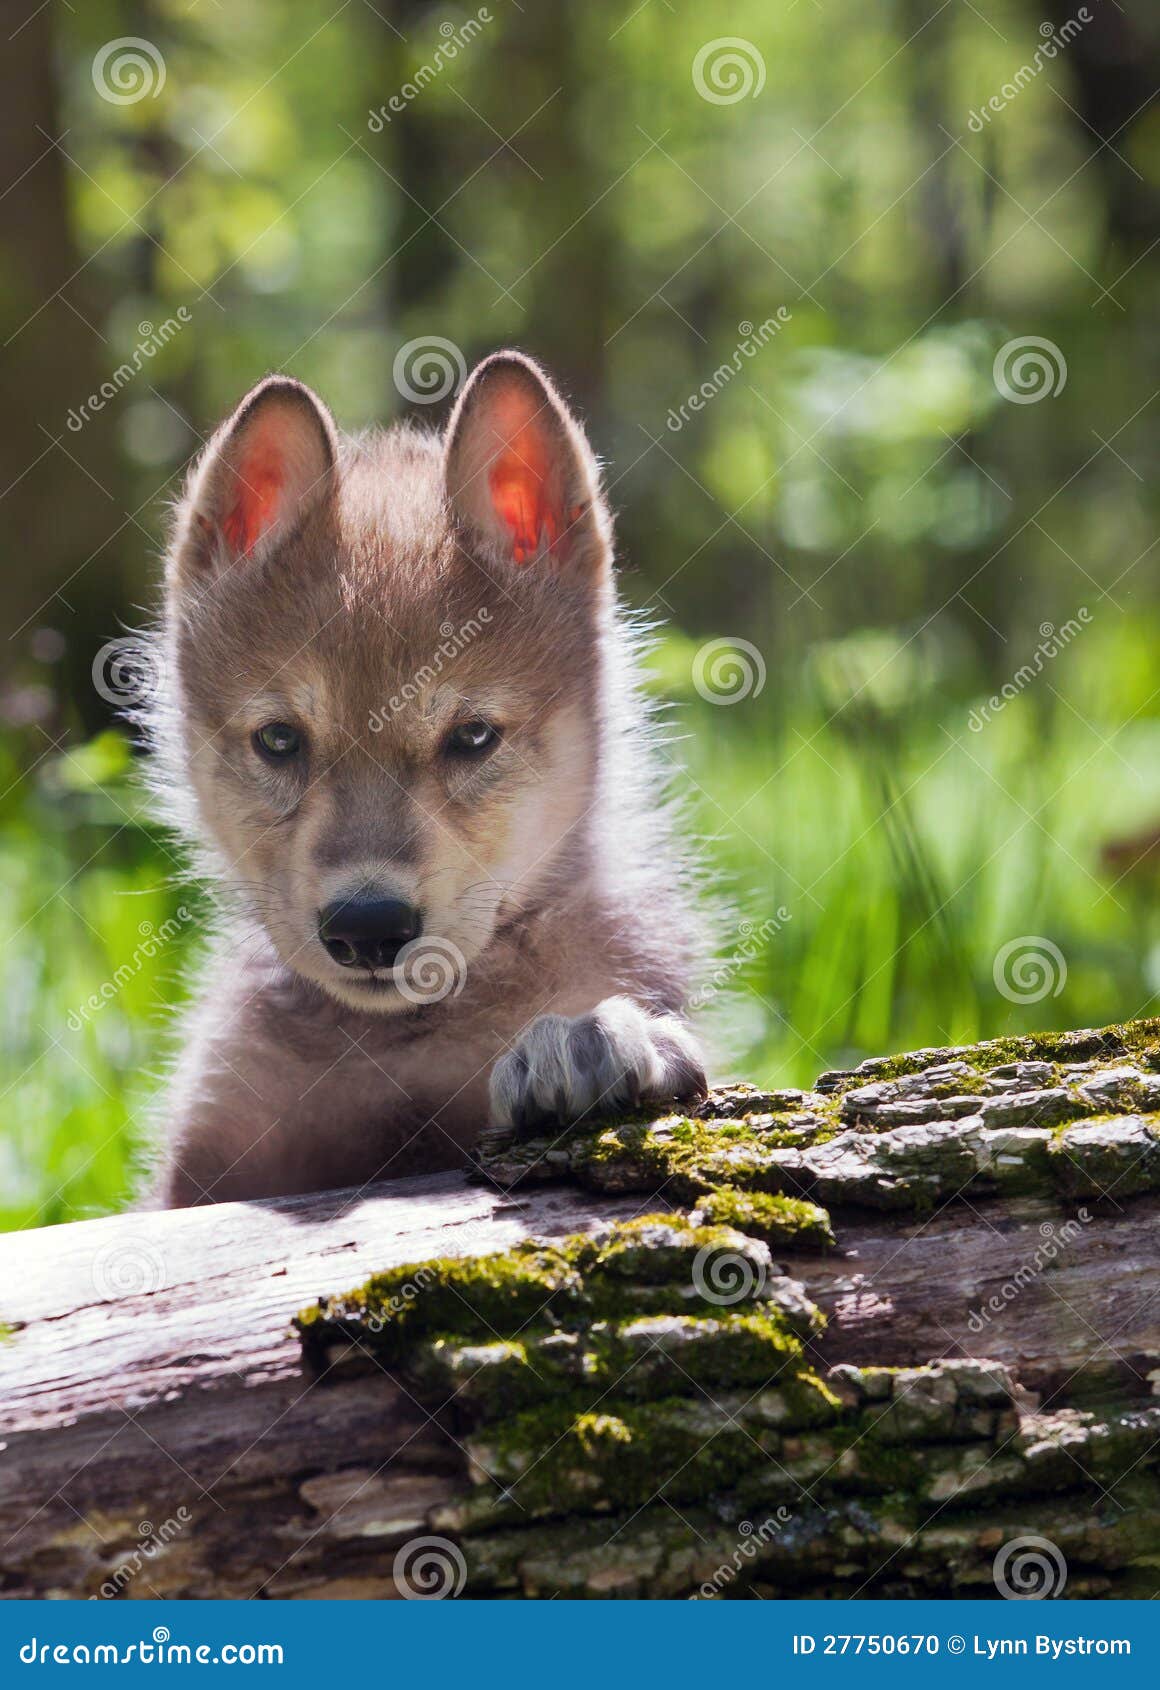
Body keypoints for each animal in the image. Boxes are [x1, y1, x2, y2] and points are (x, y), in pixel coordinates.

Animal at [144, 351, 708, 1206]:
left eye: (472, 736)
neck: (401, 1046)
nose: (368, 928)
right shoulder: (200, 1173)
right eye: (279, 740)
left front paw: (593, 1045)